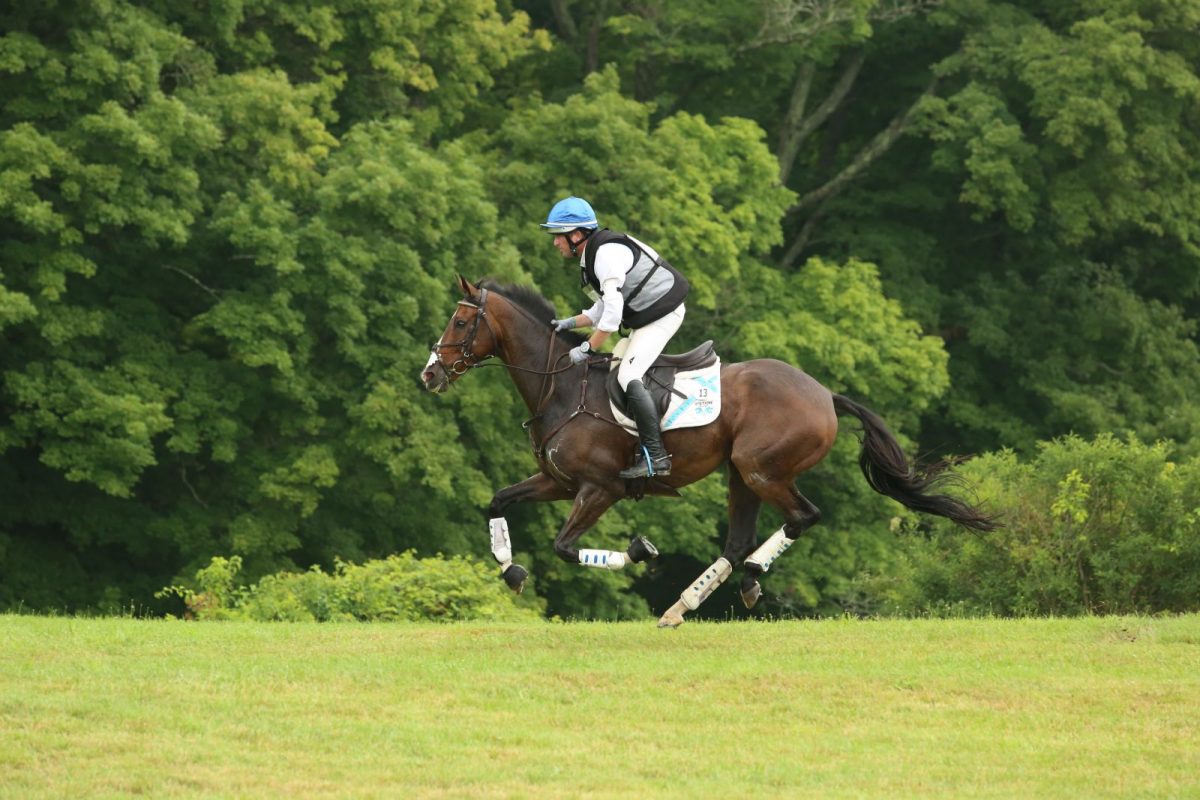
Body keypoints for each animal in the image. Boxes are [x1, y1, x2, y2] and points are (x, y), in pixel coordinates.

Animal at [421, 276, 996, 627]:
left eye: (460, 322)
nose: (428, 374)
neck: (559, 386)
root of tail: (823, 393)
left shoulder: (600, 489)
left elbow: (565, 547)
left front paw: (639, 550)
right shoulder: (558, 482)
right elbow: (498, 501)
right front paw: (511, 571)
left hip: (761, 470)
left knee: (802, 517)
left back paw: (748, 578)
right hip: (741, 475)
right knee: (739, 541)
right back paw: (685, 605)